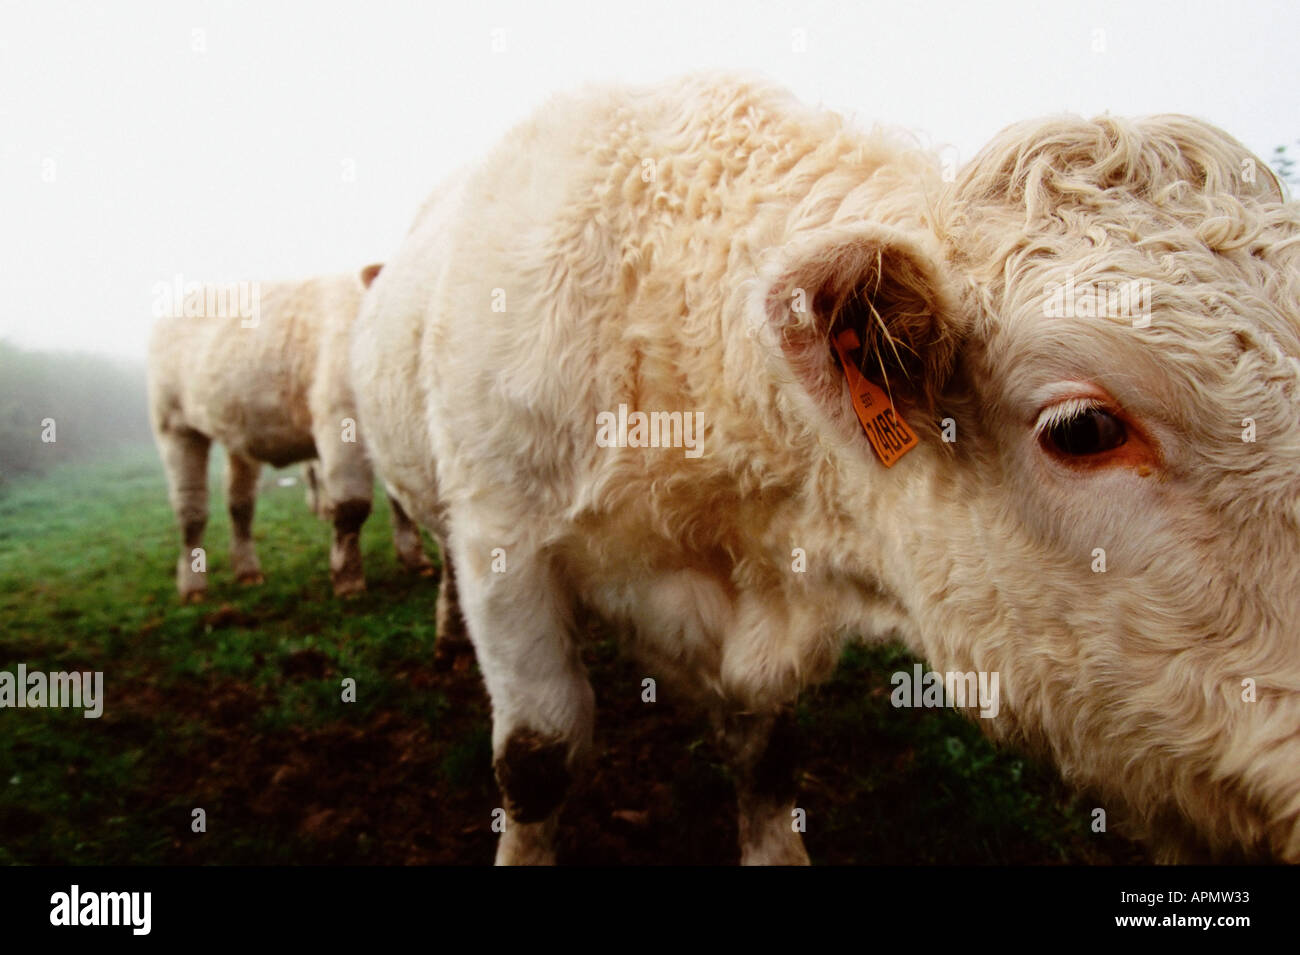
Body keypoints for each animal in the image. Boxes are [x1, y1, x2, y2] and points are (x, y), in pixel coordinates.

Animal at [148, 266, 433, 602]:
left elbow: (402, 502)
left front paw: (415, 560)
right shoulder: (339, 420)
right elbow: (352, 506)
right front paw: (348, 580)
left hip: (237, 435)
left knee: (239, 503)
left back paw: (247, 571)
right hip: (174, 426)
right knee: (190, 508)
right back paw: (193, 587)